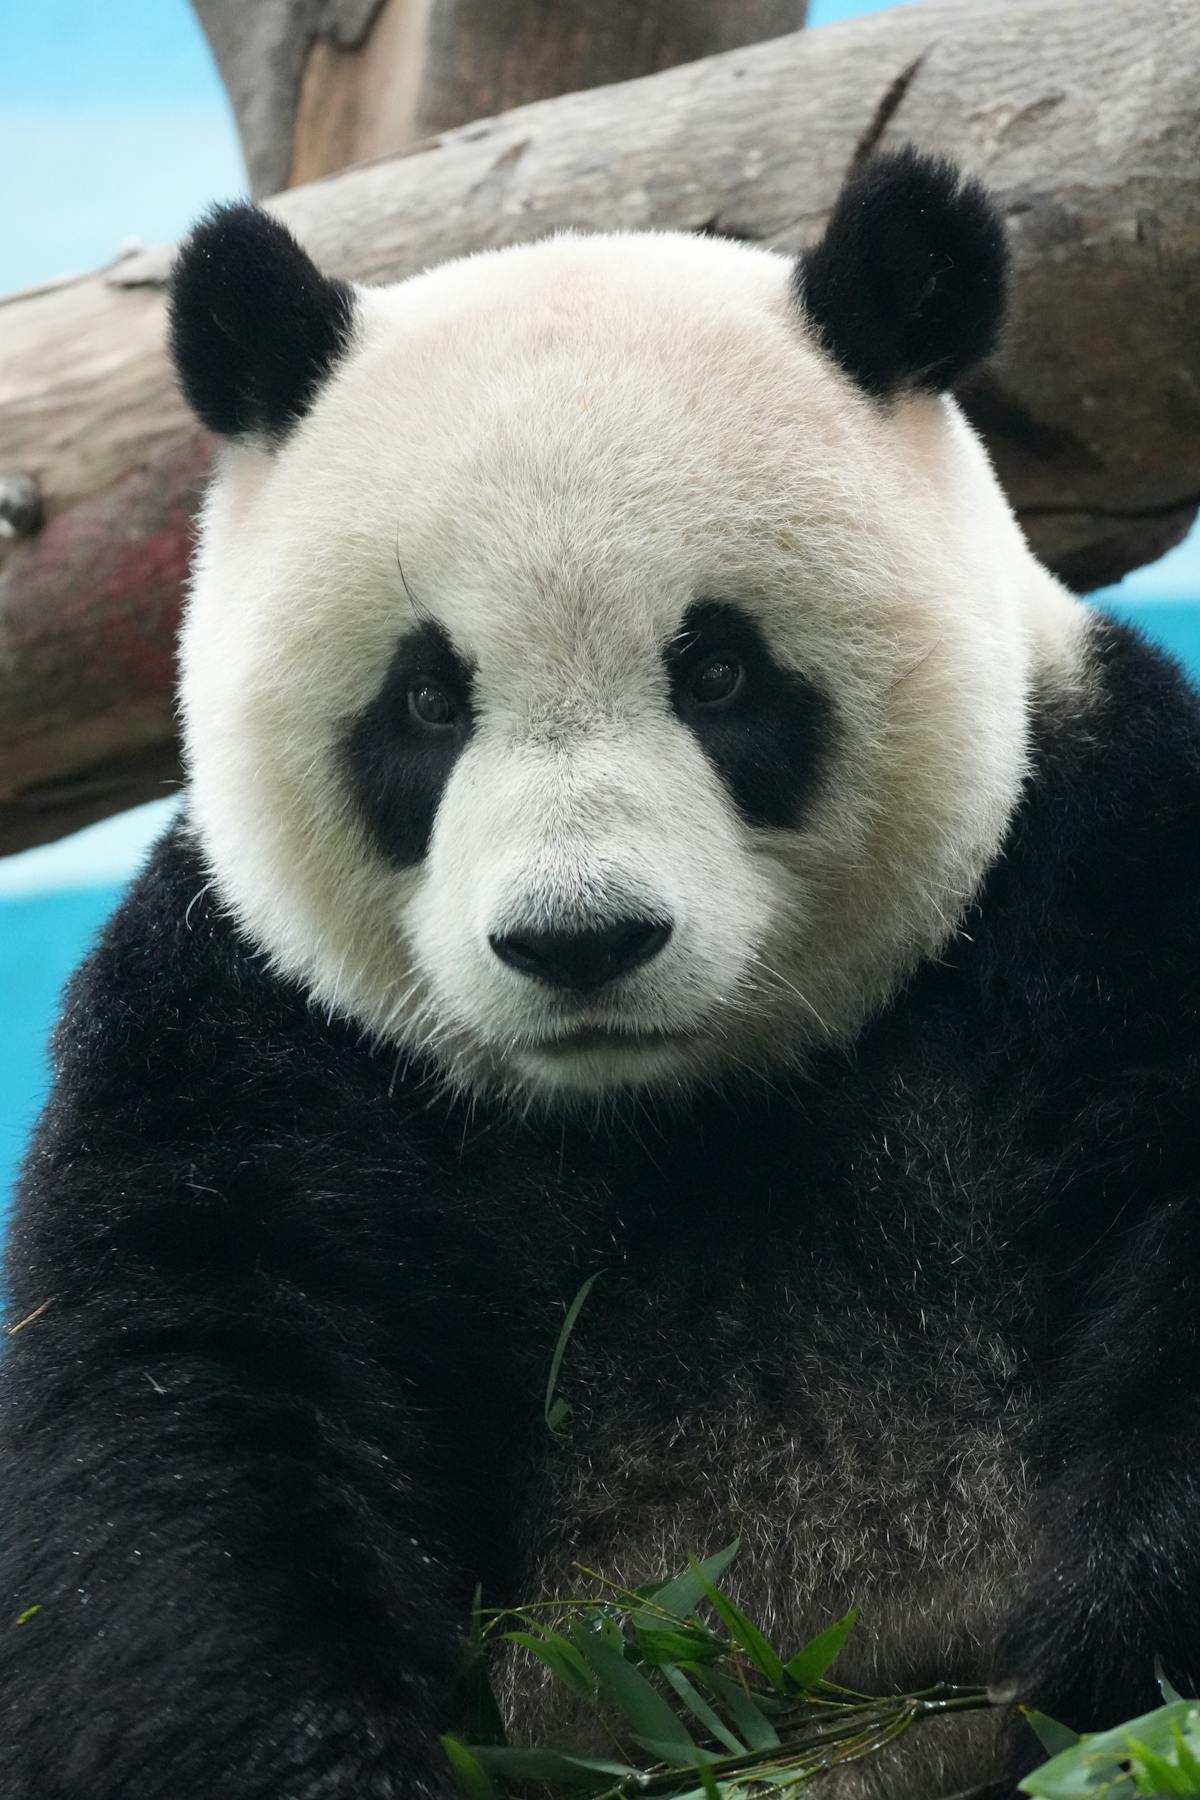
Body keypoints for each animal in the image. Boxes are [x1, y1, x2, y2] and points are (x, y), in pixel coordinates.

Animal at [2, 147, 1199, 1800]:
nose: (580, 941)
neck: (661, 1103)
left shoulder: (1096, 874)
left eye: (719, 671)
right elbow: (187, 1425)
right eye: (427, 699)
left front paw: (1113, 1714)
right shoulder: (247, 1027)